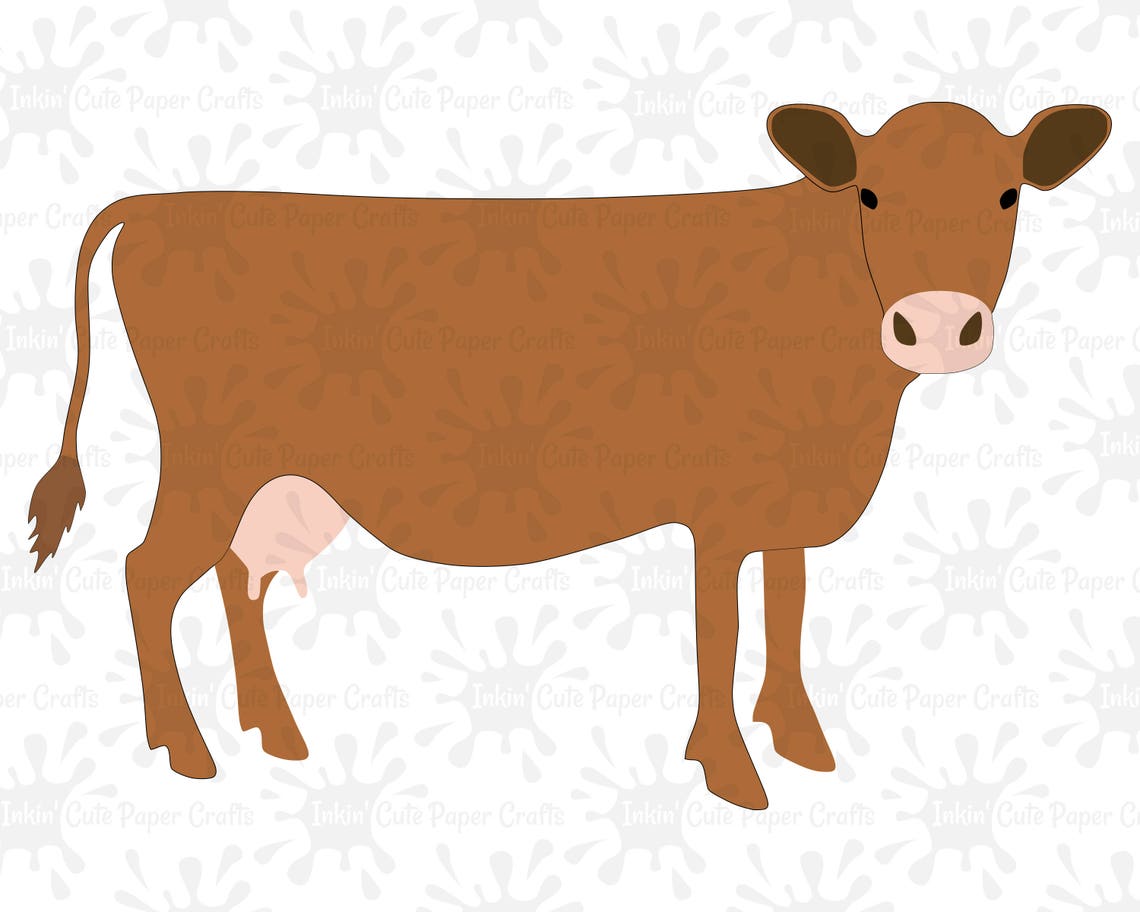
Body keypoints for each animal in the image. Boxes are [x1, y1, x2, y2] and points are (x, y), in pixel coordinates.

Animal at [28, 102, 1110, 810]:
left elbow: (788, 603)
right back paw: (187, 749)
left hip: (278, 476)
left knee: (235, 576)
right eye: (872, 196)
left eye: (1008, 195)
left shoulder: (783, 495)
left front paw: (799, 738)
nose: (938, 328)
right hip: (210, 457)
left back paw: (275, 732)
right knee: (148, 572)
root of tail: (155, 204)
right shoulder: (719, 505)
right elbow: (722, 625)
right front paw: (729, 767)